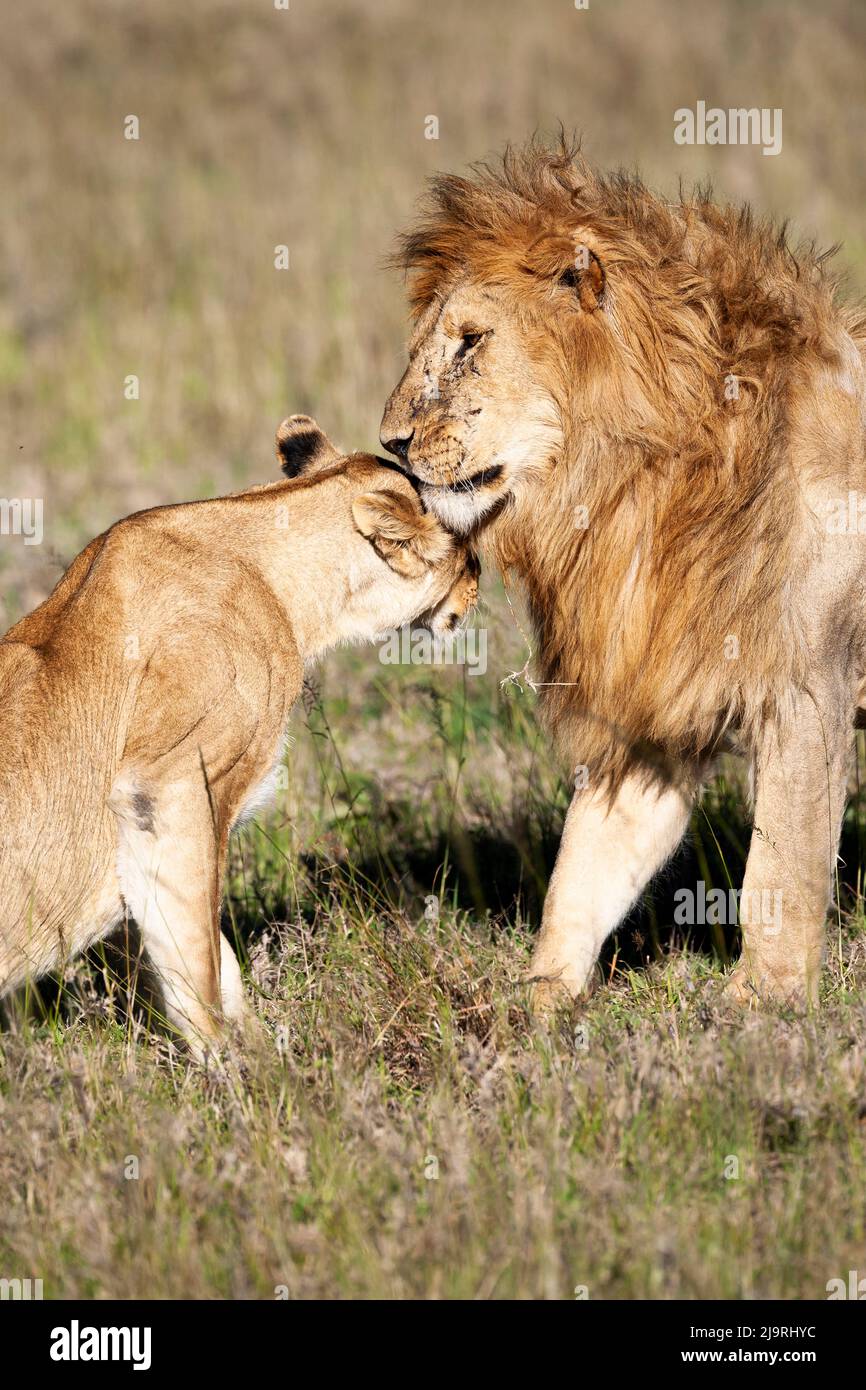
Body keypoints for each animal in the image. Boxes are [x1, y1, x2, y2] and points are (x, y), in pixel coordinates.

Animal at [0, 416, 478, 1053]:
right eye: (469, 552)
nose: (481, 580)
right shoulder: (169, 783)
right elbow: (198, 950)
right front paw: (232, 1058)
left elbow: (200, 947)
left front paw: (257, 1044)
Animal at [380, 137, 866, 1012]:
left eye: (470, 342)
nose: (390, 442)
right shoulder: (651, 702)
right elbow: (586, 865)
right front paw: (535, 1002)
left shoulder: (812, 686)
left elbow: (783, 861)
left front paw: (763, 1006)